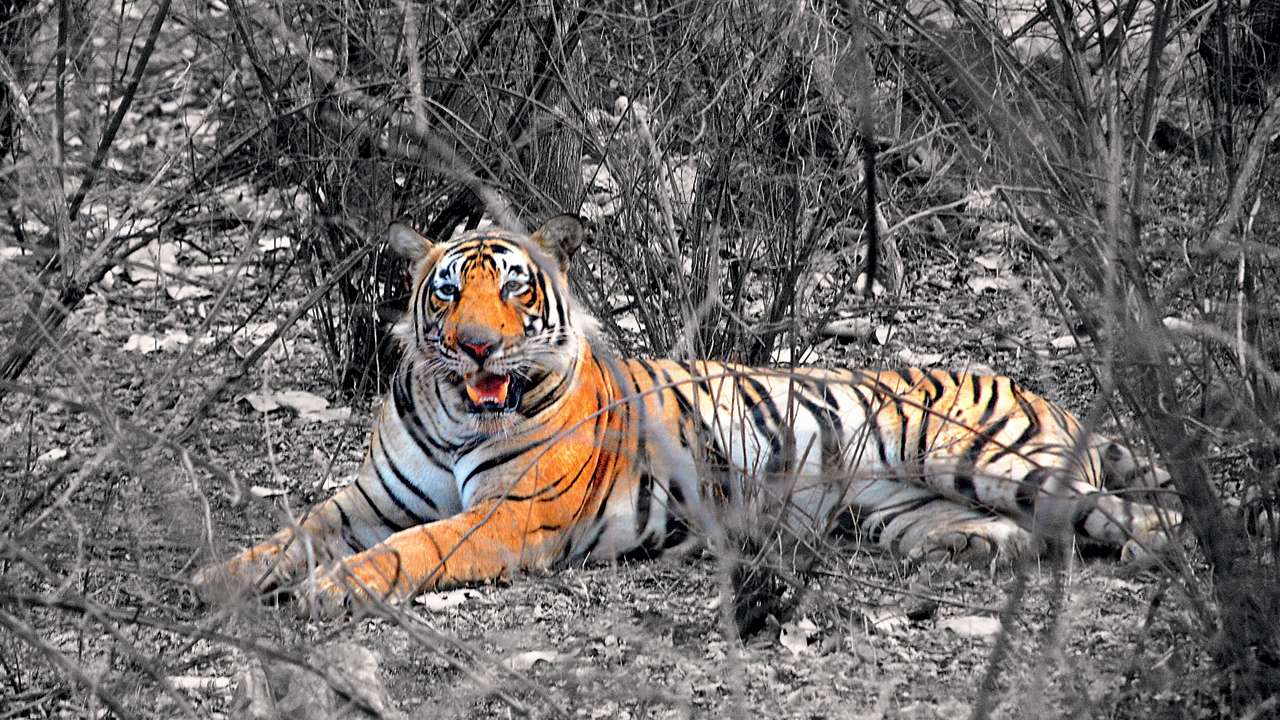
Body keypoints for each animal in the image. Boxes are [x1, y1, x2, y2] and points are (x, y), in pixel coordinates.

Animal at [194, 215, 1182, 615]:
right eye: (448, 292)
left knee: (1124, 511)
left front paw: (328, 591)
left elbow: (411, 550)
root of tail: (1037, 389)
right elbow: (292, 533)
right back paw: (996, 550)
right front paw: (219, 576)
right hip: (900, 513)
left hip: (980, 456)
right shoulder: (364, 501)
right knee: (1019, 535)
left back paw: (1163, 549)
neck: (454, 414)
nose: (474, 347)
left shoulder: (509, 517)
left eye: (513, 289)